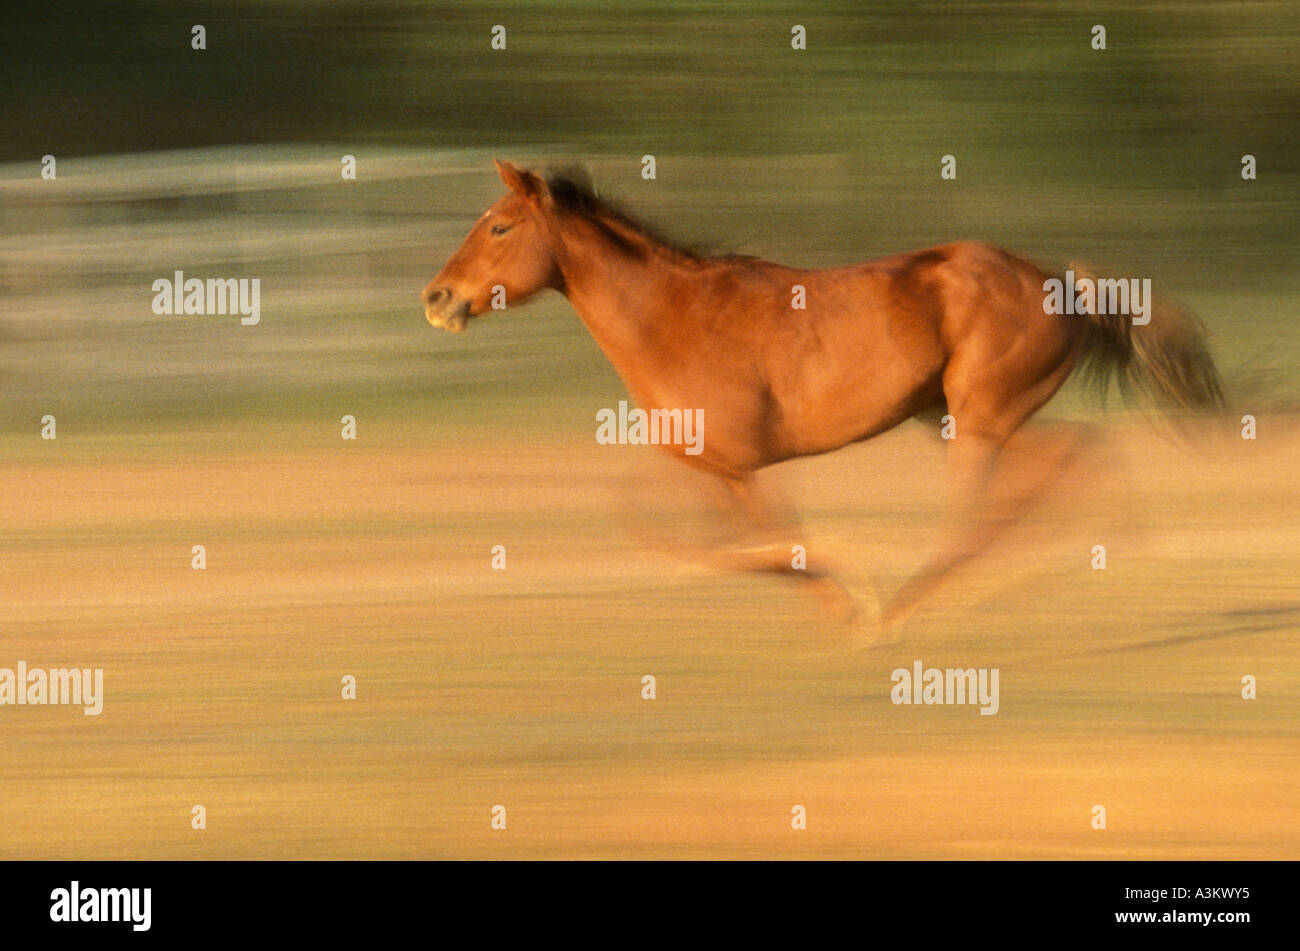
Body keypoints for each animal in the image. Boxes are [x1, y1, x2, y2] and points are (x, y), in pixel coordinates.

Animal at [422, 159, 1224, 635]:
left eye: (500, 225)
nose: (438, 298)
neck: (673, 317)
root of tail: (1061, 283)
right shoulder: (710, 467)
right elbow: (673, 532)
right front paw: (844, 596)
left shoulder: (736, 465)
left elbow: (763, 541)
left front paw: (855, 591)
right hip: (957, 414)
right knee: (1077, 453)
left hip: (979, 415)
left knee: (995, 499)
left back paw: (925, 601)